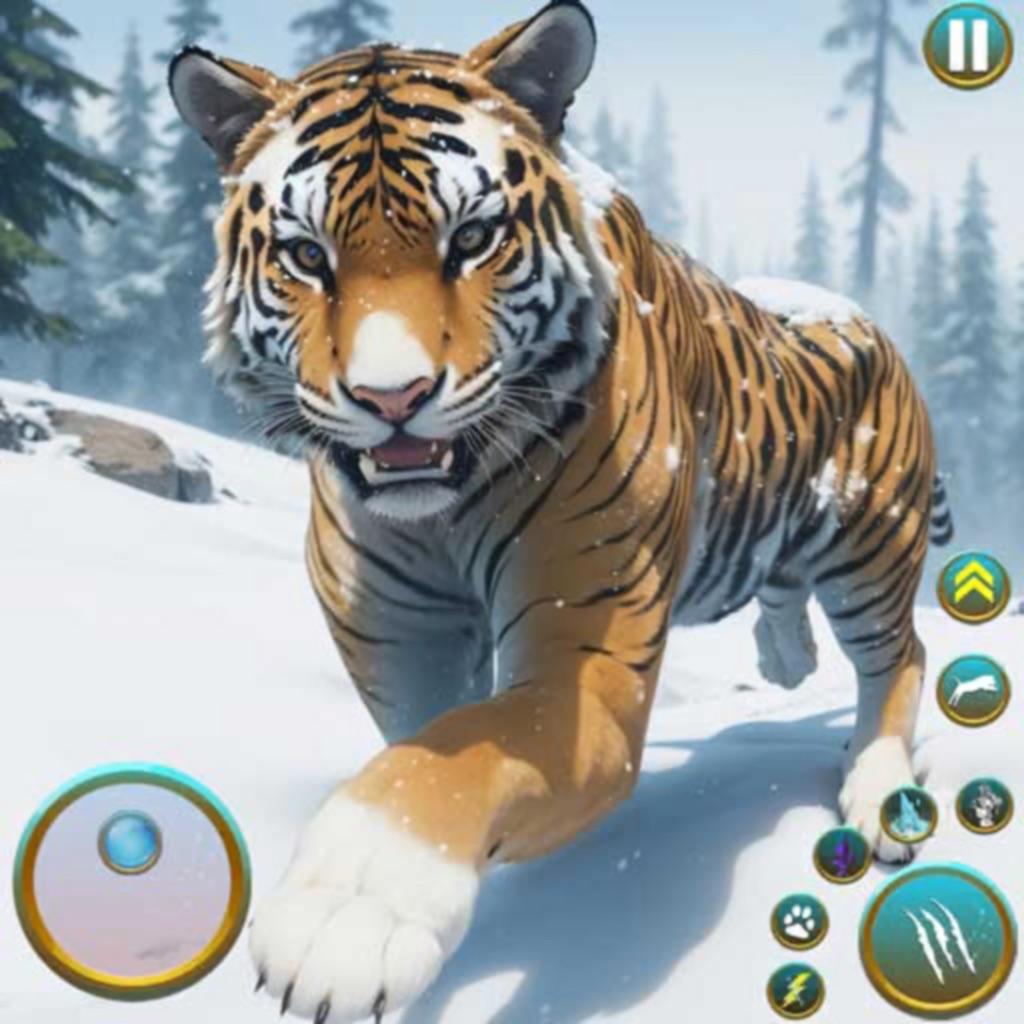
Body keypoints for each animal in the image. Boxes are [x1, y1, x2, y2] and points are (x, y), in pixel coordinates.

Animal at [168, 2, 952, 1020]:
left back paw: (878, 792)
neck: (443, 510)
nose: (392, 397)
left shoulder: (586, 665)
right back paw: (787, 660)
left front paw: (348, 913)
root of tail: (862, 317)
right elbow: (433, 737)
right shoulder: (399, 637)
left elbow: (459, 753)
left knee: (902, 655)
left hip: (871, 548)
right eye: (308, 257)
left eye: (471, 240)